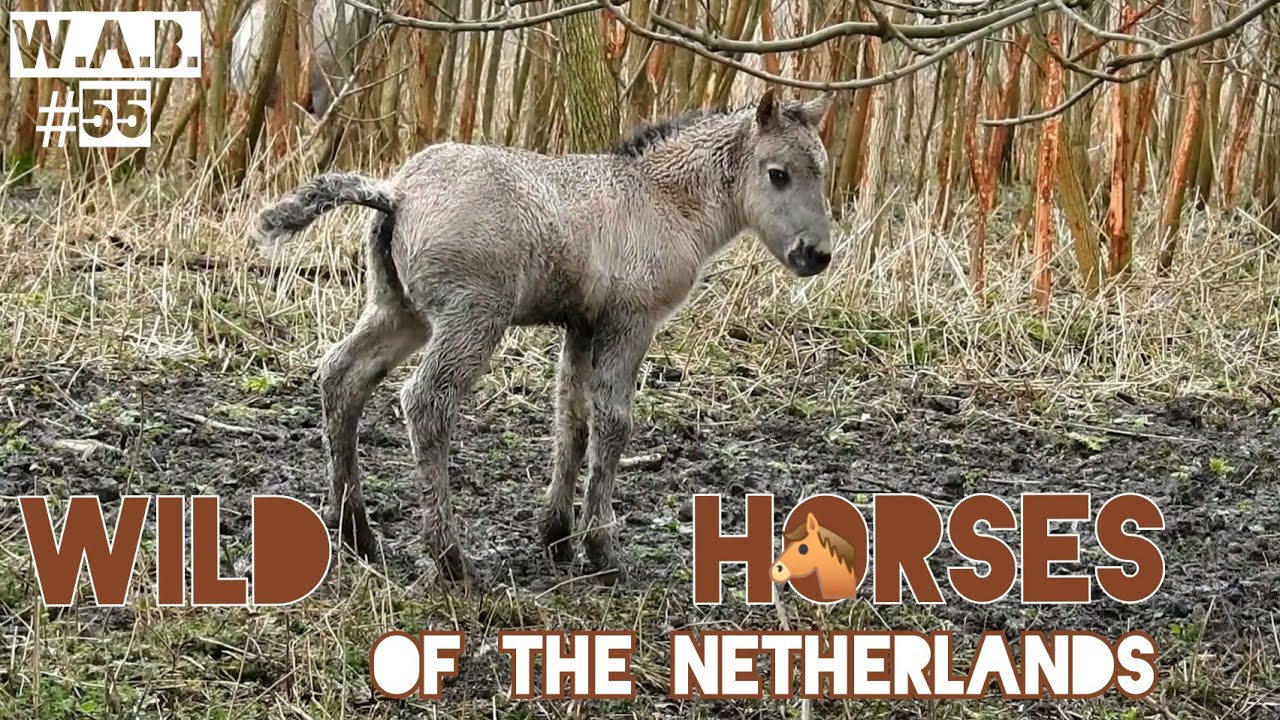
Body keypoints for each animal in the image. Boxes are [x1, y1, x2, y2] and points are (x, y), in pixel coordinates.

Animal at [251, 89, 836, 588]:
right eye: (778, 174)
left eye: (823, 170)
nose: (816, 254)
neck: (660, 198)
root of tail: (397, 193)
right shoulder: (631, 322)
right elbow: (613, 424)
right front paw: (602, 553)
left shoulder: (582, 325)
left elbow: (571, 420)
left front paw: (556, 537)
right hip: (471, 318)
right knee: (425, 402)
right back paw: (451, 559)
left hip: (401, 312)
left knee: (341, 376)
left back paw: (358, 534)